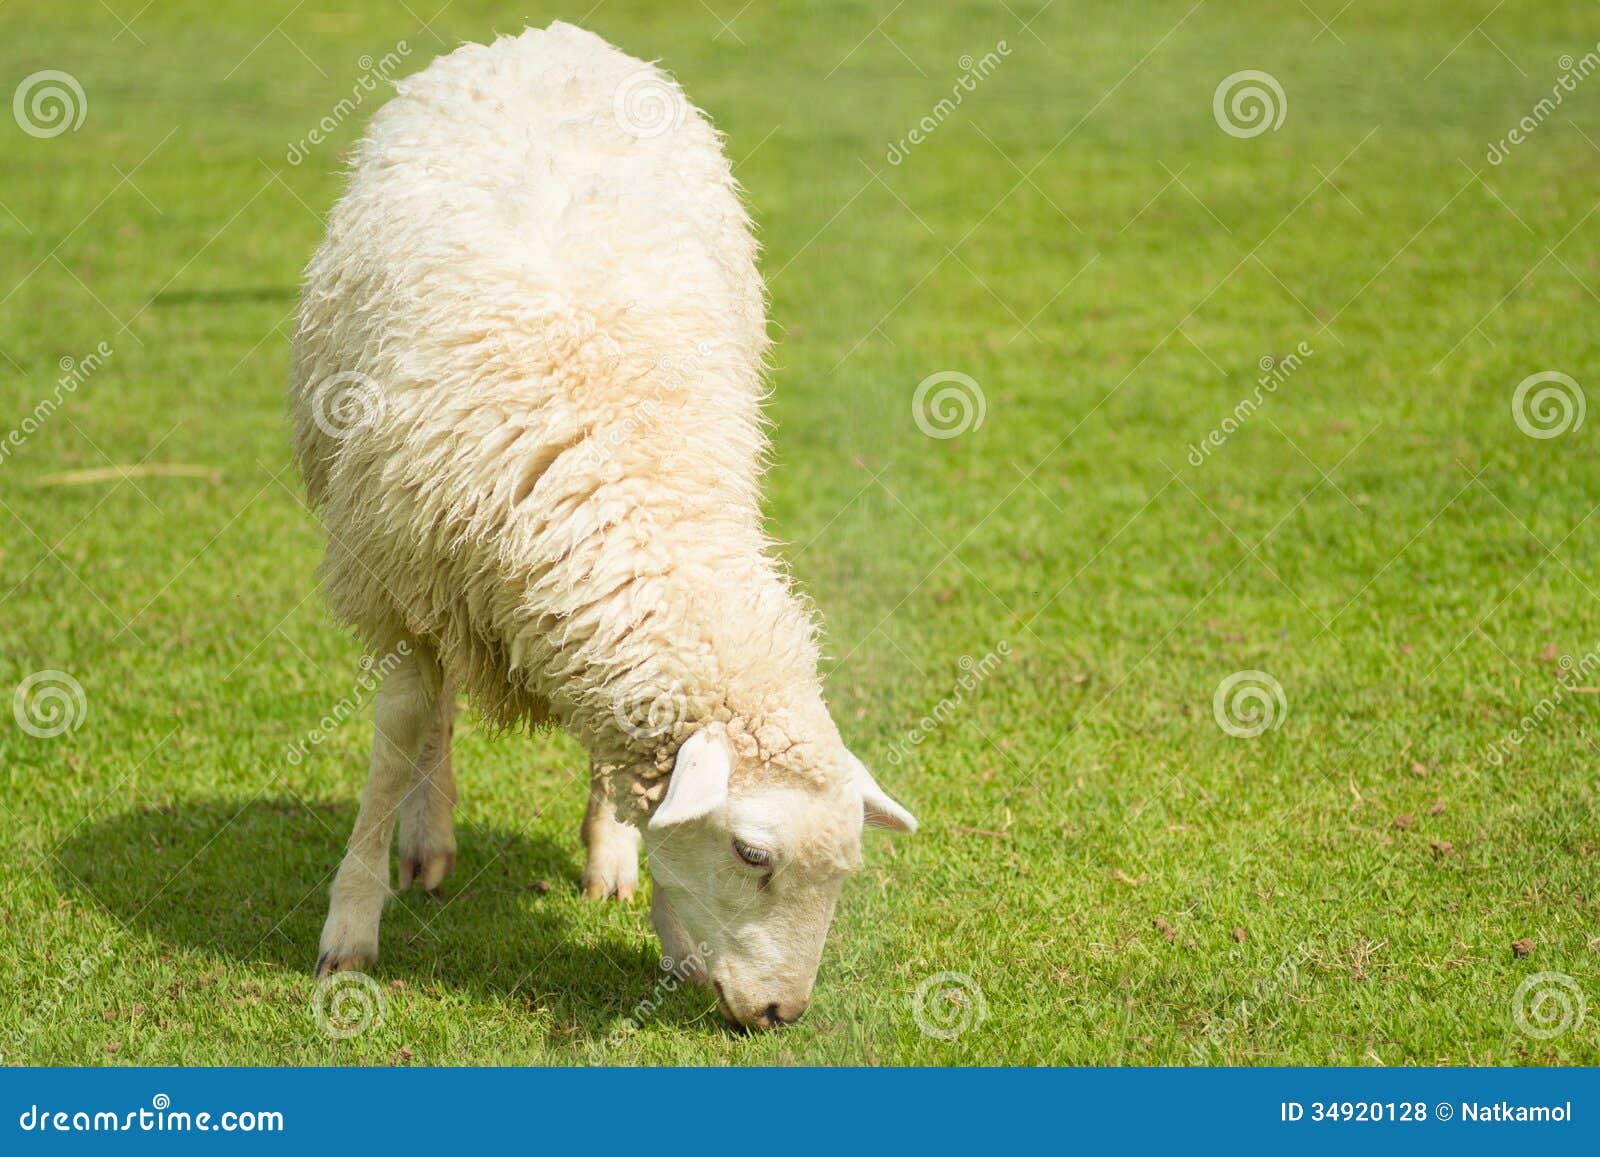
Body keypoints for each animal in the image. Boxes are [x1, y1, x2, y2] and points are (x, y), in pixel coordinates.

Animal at [288, 22, 916, 1030]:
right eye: (752, 853)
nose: (782, 1013)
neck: (616, 455)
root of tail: (543, 34)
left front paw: (641, 886)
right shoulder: (403, 574)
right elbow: (396, 738)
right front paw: (351, 924)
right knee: (437, 708)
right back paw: (427, 839)